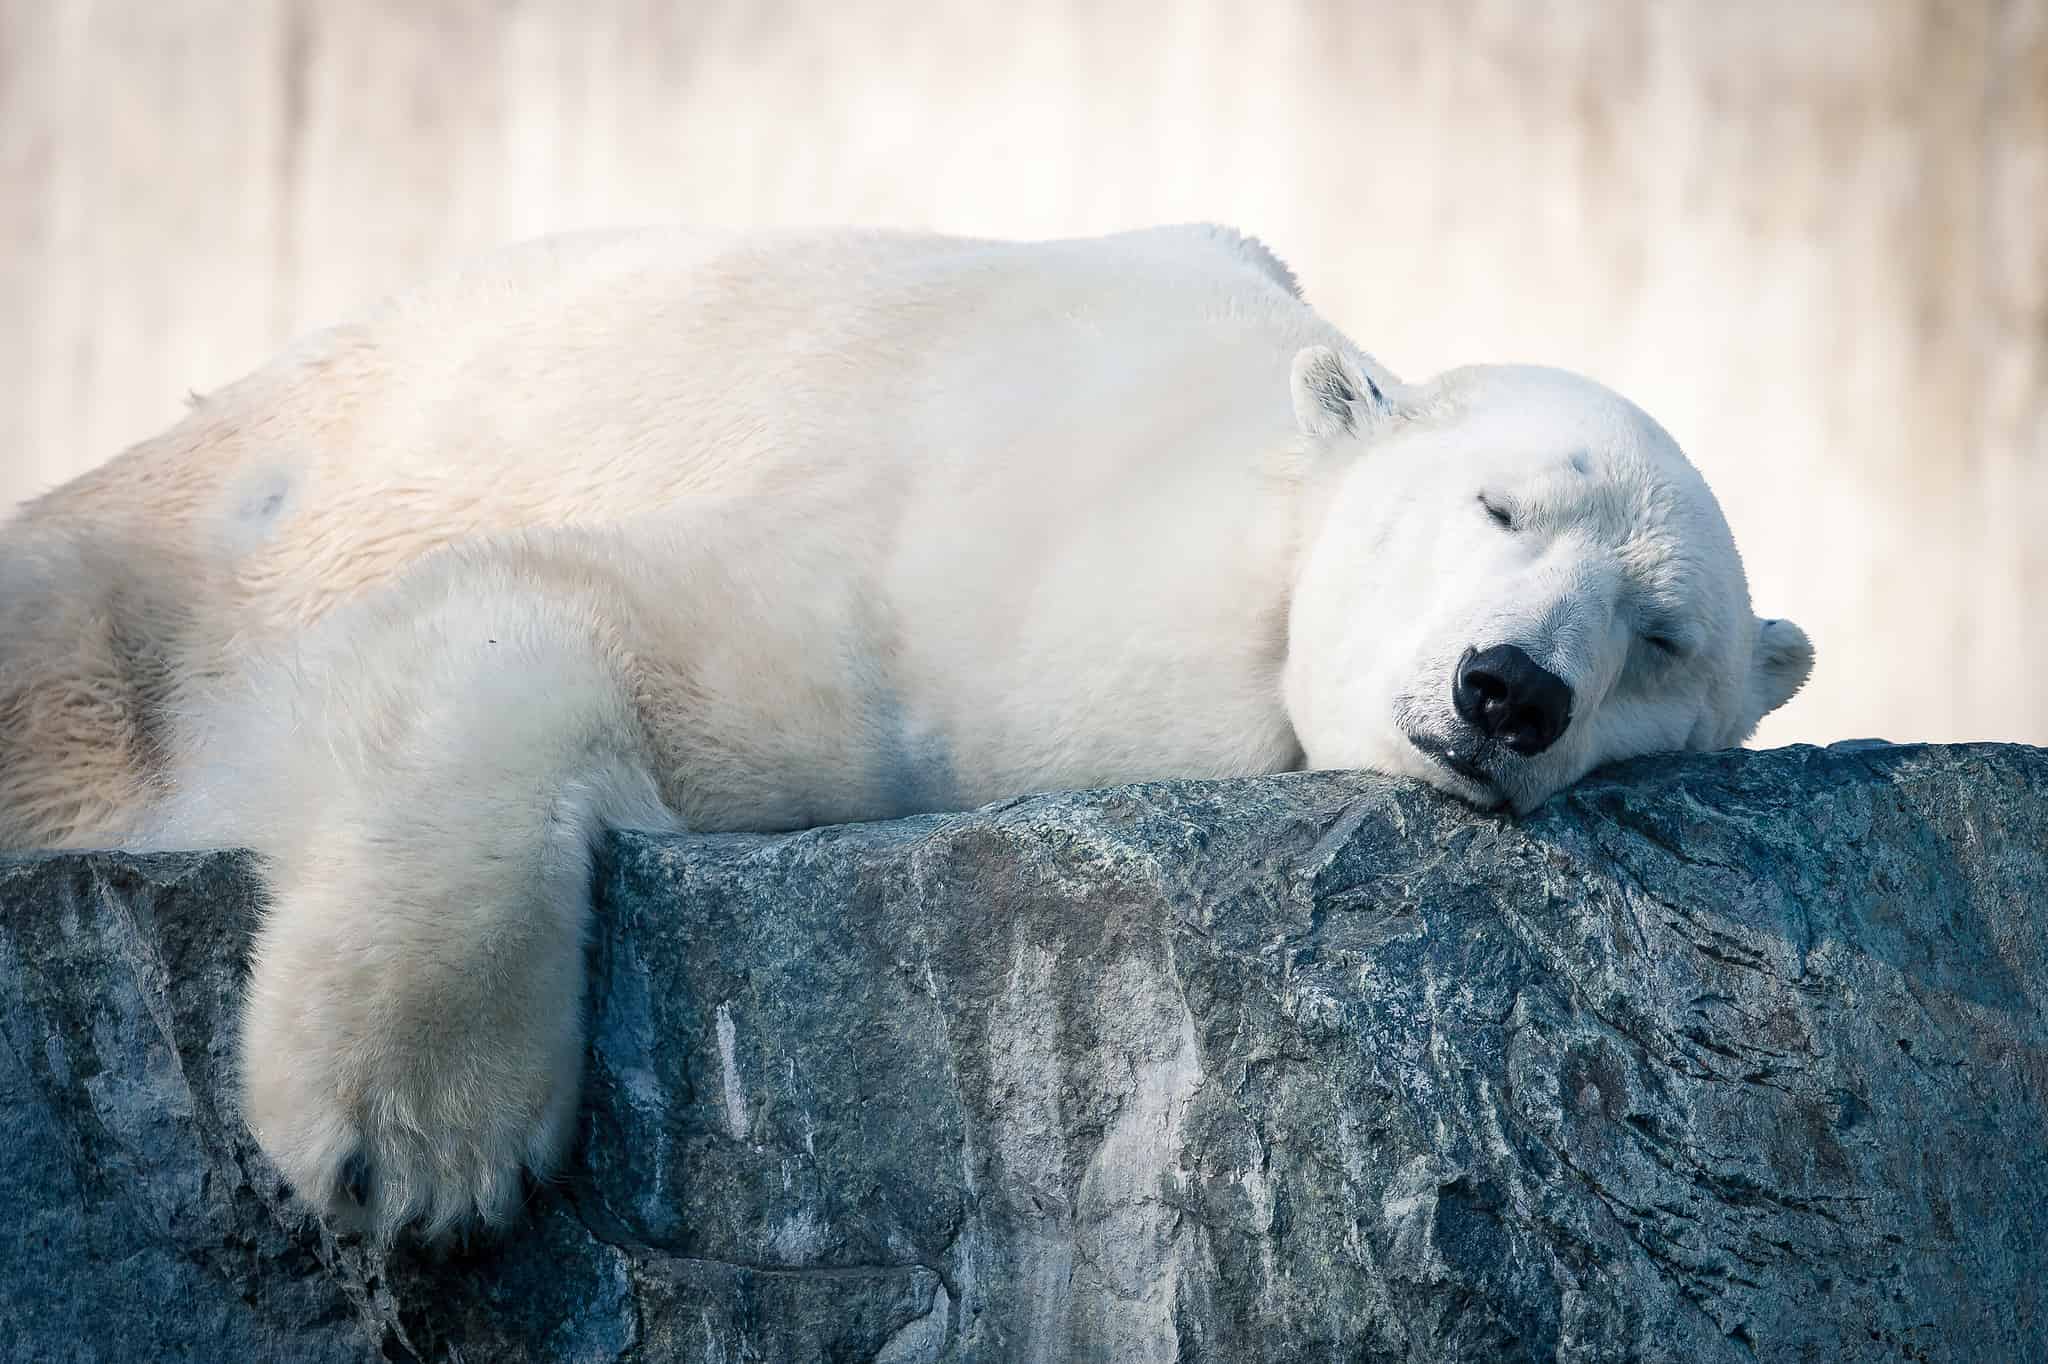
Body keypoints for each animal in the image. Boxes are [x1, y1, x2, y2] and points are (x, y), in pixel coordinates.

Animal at [0, 225, 1812, 1239]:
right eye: (1498, 504)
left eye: (1661, 637)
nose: (1512, 686)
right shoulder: (935, 597)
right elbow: (571, 615)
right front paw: (413, 1137)